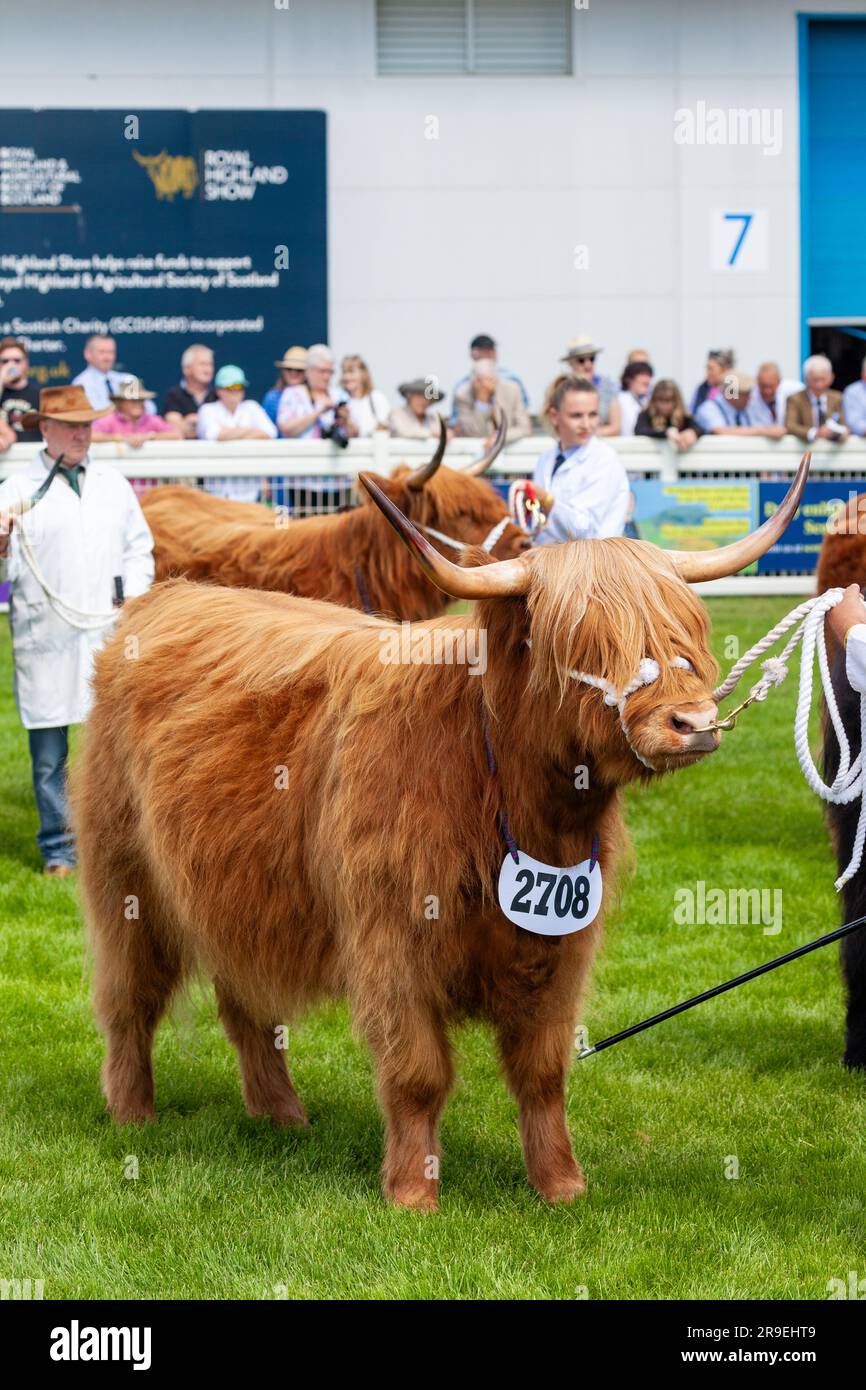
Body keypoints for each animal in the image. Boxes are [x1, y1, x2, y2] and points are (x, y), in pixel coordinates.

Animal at [70, 455, 809, 1209]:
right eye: (585, 640)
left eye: (685, 630)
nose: (694, 722)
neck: (518, 803)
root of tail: (168, 599)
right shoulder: (393, 939)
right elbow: (418, 1074)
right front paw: (412, 1193)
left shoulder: (563, 946)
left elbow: (543, 1071)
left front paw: (562, 1185)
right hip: (128, 885)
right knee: (129, 999)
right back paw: (133, 1114)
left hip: (235, 894)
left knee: (246, 1001)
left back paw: (281, 1114)